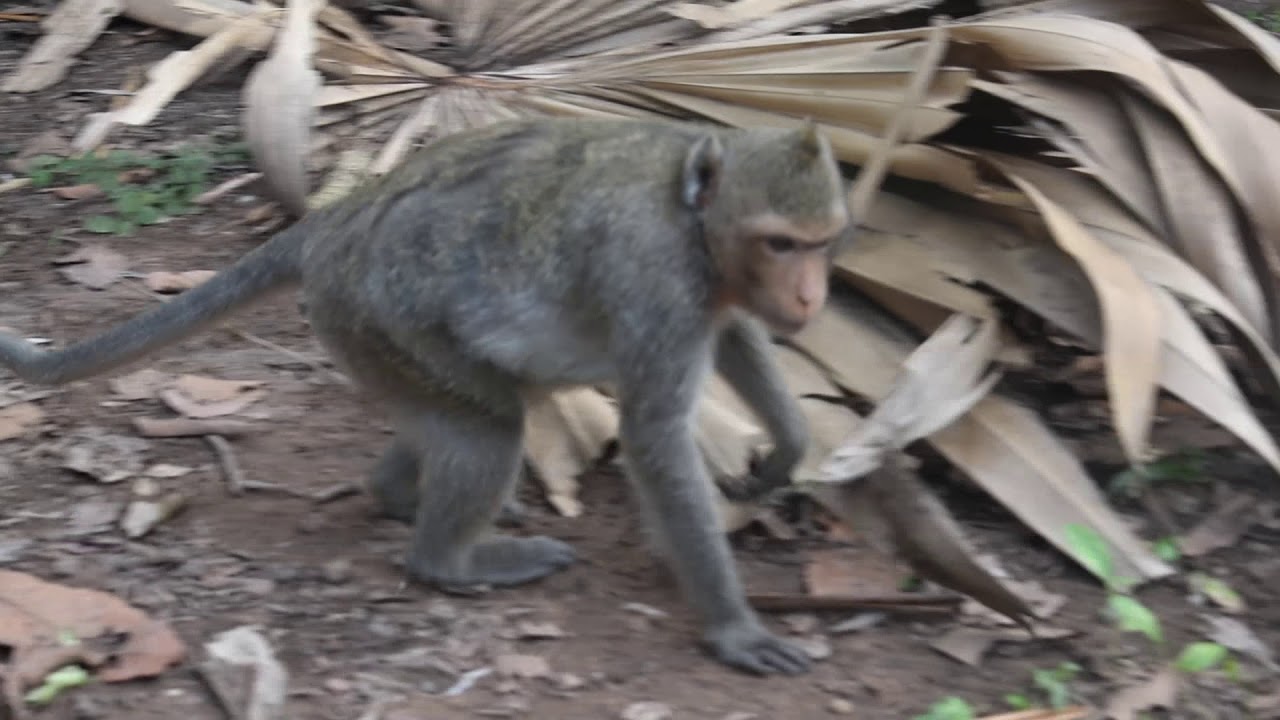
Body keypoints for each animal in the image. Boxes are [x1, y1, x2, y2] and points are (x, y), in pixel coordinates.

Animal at [0, 117, 853, 675]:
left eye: (821, 243)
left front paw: (786, 446)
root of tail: (332, 224)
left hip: (367, 336)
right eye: (781, 243)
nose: (811, 298)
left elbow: (736, 336)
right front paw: (733, 627)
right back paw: (448, 558)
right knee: (491, 427)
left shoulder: (707, 288)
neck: (688, 212)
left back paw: (397, 492)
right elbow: (654, 435)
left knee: (476, 408)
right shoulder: (657, 277)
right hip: (373, 314)